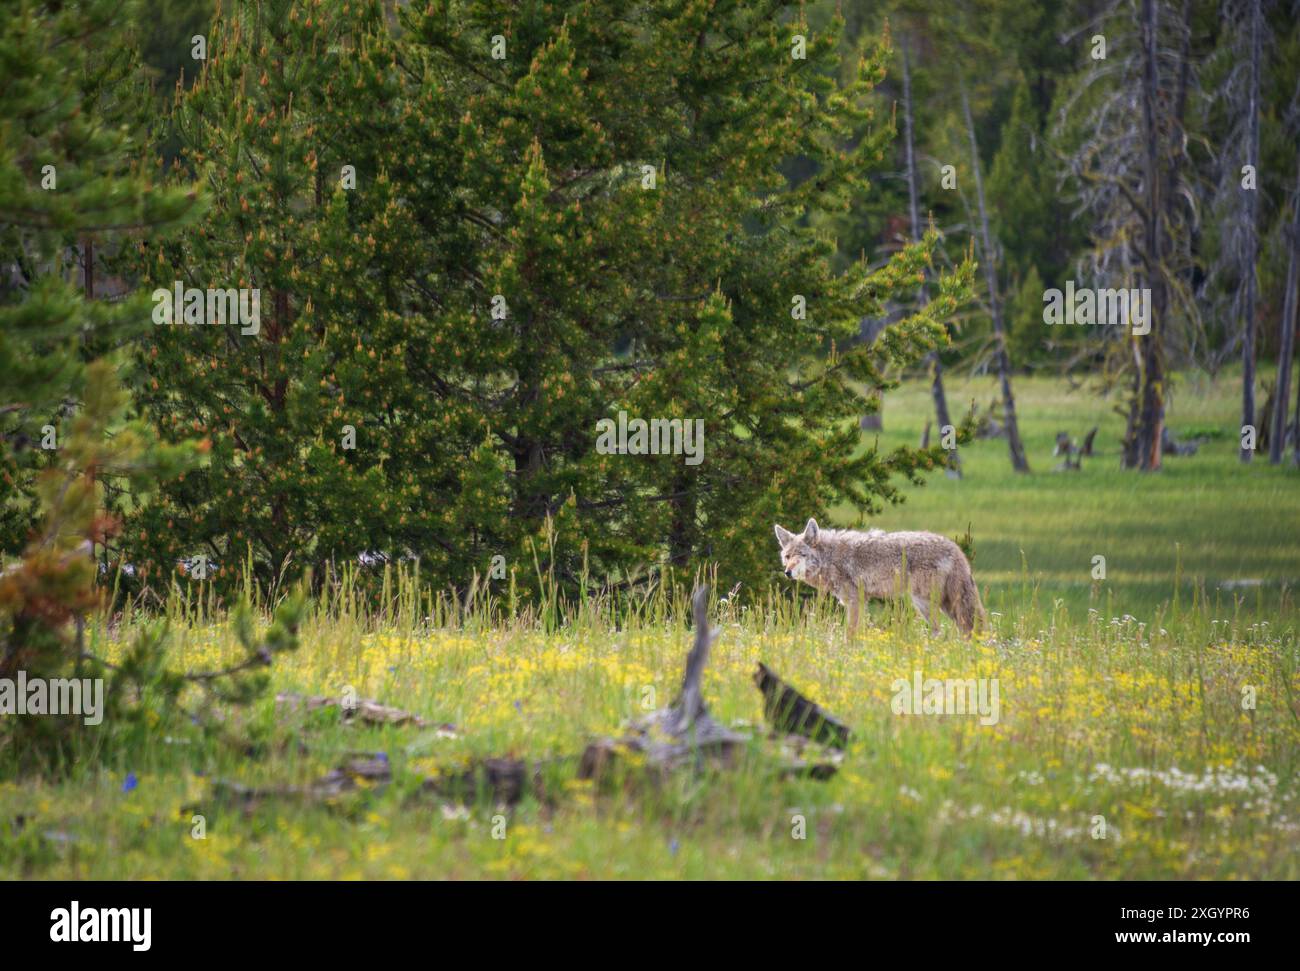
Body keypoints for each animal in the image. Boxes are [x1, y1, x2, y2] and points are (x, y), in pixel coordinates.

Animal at [774, 518, 983, 636]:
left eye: (801, 555)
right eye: (787, 557)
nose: (788, 572)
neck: (831, 557)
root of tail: (955, 549)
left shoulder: (855, 601)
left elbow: (850, 634)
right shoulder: (860, 601)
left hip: (925, 603)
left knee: (941, 632)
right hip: (946, 606)